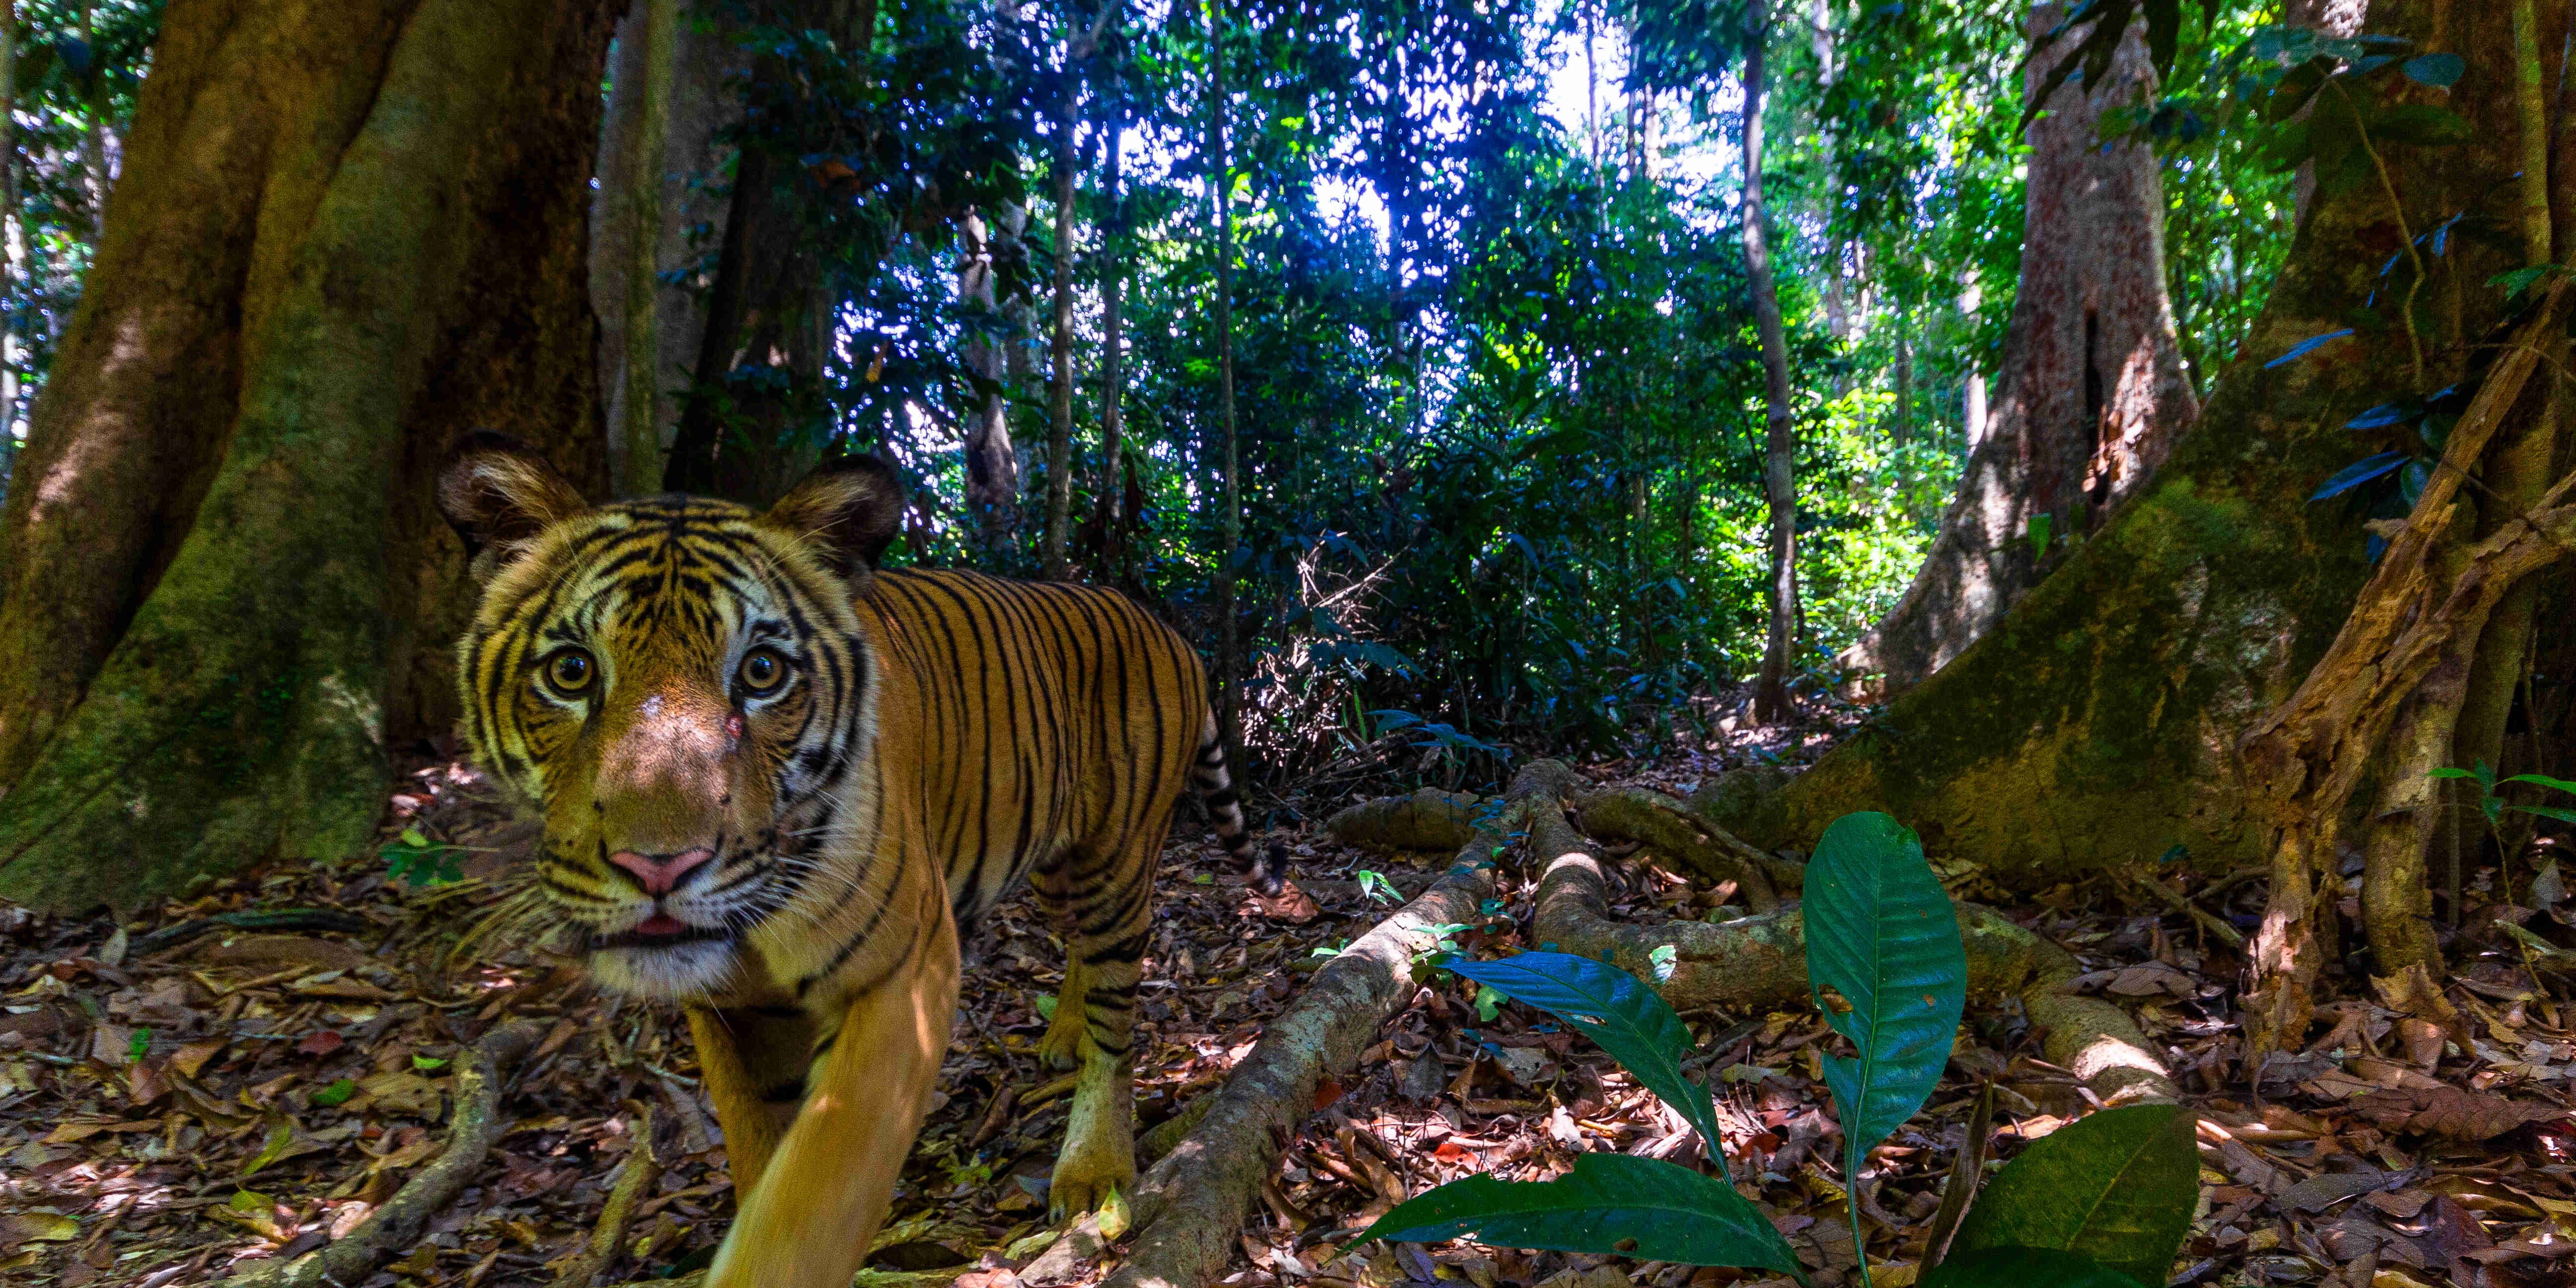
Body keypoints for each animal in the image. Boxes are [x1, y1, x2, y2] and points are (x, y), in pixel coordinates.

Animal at [434, 432, 1278, 1288]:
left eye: (762, 673)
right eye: (571, 672)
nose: (658, 868)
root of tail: (1164, 626)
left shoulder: (904, 975)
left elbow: (814, 1195)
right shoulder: (728, 1010)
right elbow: (758, 1153)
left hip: (1115, 861)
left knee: (1116, 1017)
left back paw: (1093, 1170)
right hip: (1054, 858)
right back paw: (1064, 1034)